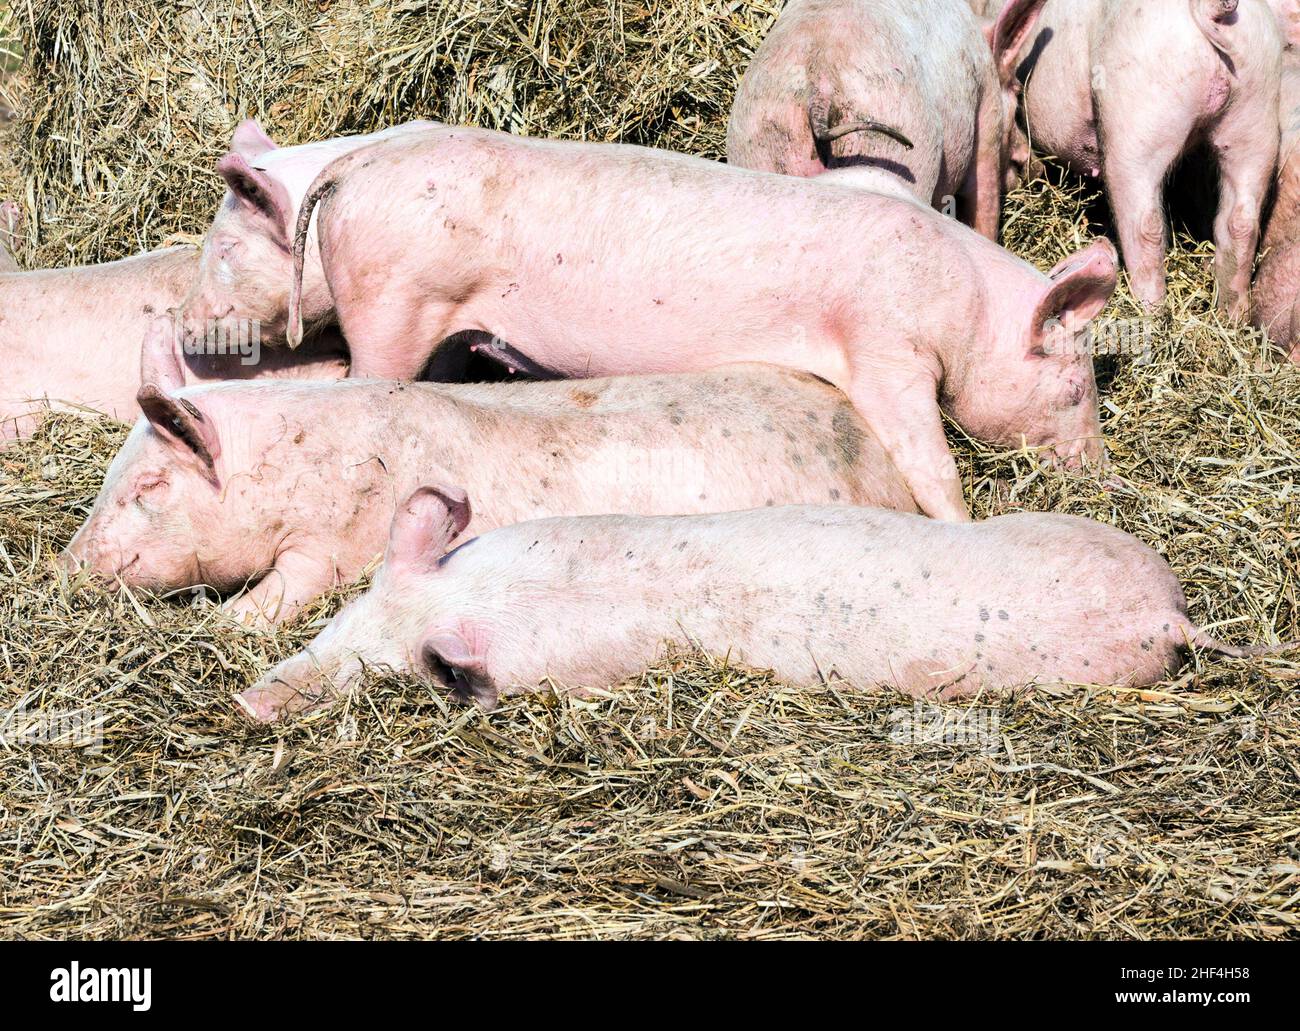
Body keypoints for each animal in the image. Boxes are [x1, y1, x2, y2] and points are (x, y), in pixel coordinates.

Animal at [62, 327, 920, 626]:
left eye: (148, 489)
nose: (62, 566)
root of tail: (880, 462)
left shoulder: (331, 543)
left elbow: (281, 594)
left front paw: (226, 623)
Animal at [281, 124, 1118, 523]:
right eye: (1076, 385)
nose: (1101, 473)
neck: (963, 305)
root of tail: (350, 167)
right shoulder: (887, 351)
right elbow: (931, 460)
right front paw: (963, 522)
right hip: (391, 304)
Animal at [726, 0, 1047, 237]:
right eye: (1017, 92)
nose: (1039, 168)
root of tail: (820, 85)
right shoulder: (987, 111)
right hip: (897, 147)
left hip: (763, 142)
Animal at [1011, 0, 1283, 316]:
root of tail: (1209, 9)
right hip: (1257, 105)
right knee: (1241, 220)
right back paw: (1231, 316)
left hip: (1137, 115)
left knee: (1146, 223)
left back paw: (1149, 312)